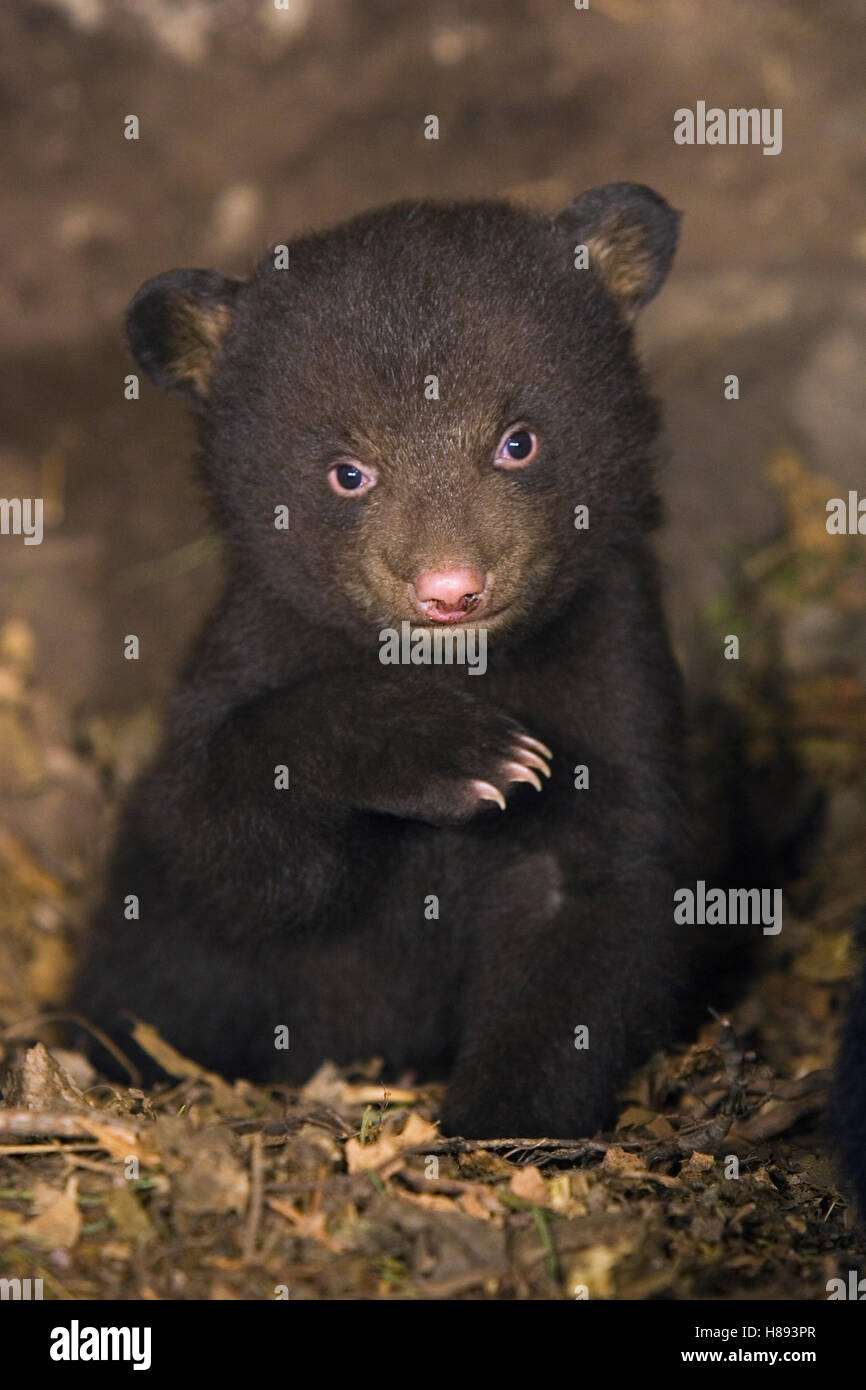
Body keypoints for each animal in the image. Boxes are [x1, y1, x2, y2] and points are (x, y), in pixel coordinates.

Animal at [70, 182, 692, 1139]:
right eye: (347, 472)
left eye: (519, 441)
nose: (450, 589)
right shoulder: (253, 651)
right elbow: (228, 850)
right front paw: (454, 753)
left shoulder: (613, 664)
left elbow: (589, 902)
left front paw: (502, 1121)